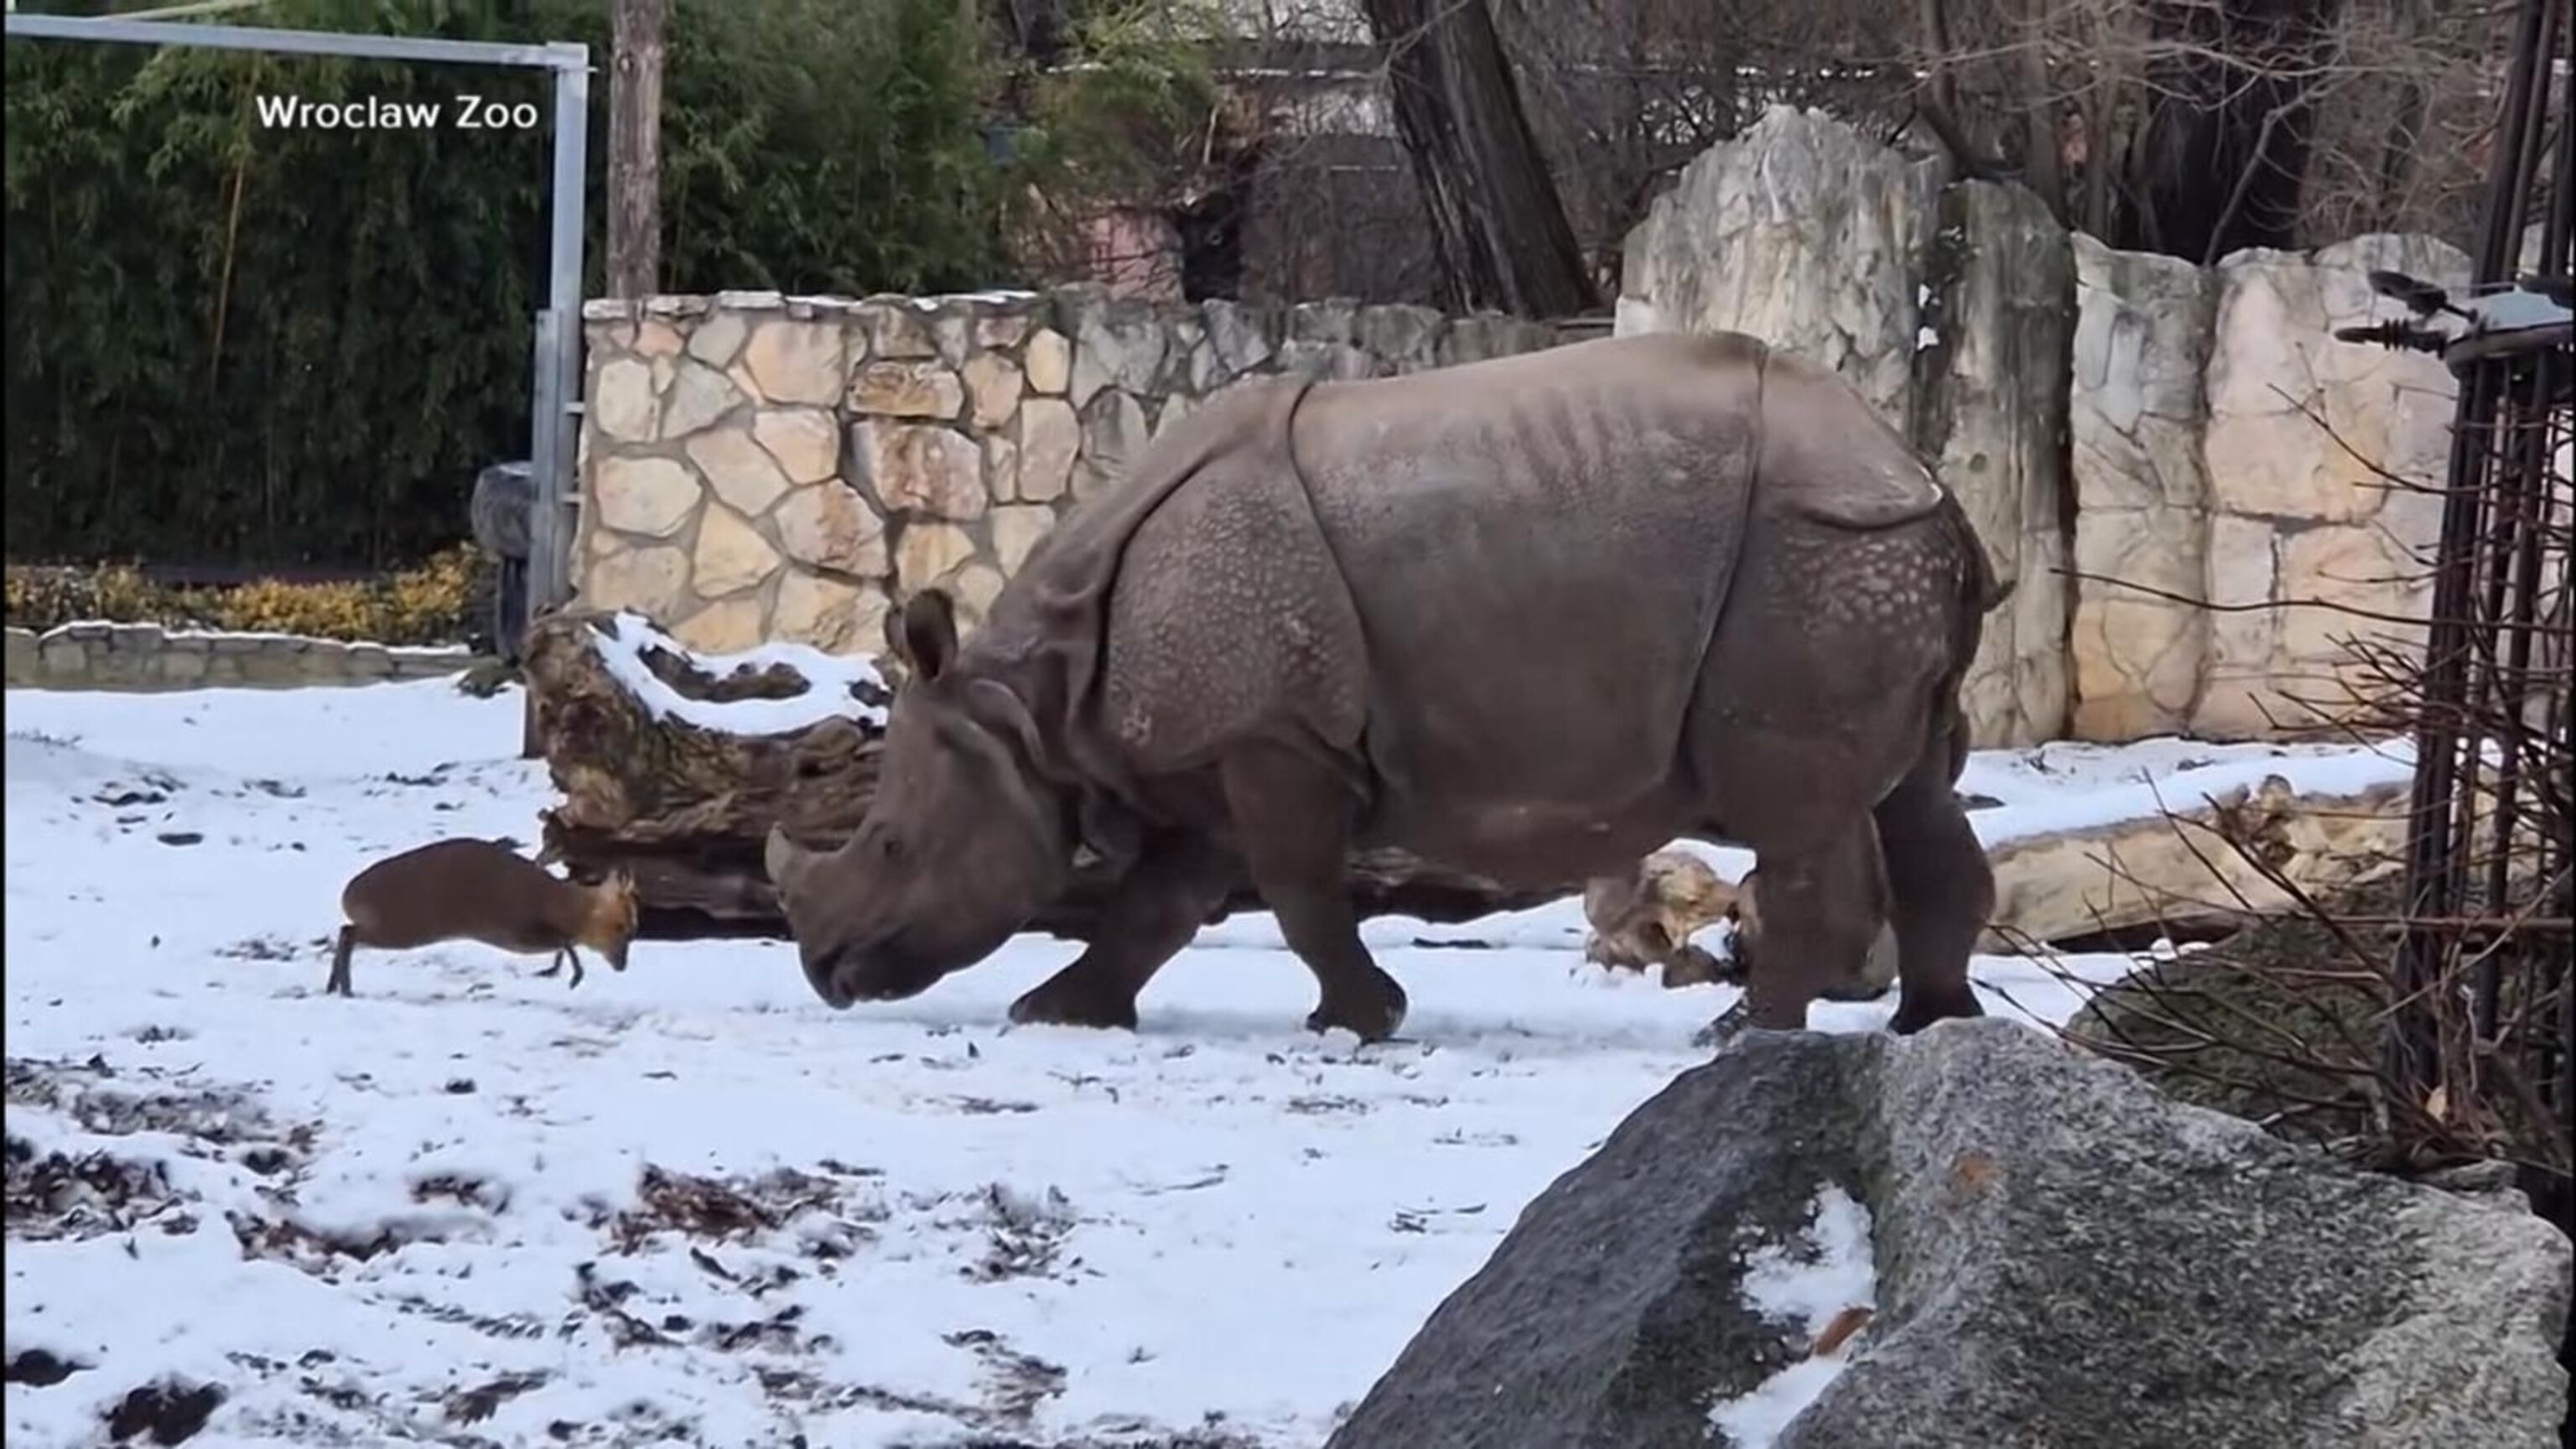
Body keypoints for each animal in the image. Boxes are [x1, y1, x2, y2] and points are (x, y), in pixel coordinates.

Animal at [327, 838, 639, 997]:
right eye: (621, 926)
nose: (622, 965)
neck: (566, 906)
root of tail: (347, 895)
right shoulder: (522, 931)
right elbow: (564, 944)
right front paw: (573, 977)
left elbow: (563, 946)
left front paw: (557, 972)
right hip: (401, 927)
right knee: (348, 933)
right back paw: (345, 989)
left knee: (346, 932)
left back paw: (334, 986)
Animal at [766, 330, 2006, 1043]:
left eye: (889, 844)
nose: (824, 975)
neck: (1032, 705)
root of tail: (1923, 474)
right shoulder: (1217, 747)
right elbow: (1163, 901)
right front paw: (1058, 1014)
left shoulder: (1275, 735)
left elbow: (1300, 893)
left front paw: (1364, 1023)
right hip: (1865, 556)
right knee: (1916, 793)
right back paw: (1931, 1026)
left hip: (1819, 552)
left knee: (1794, 814)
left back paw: (1748, 1036)